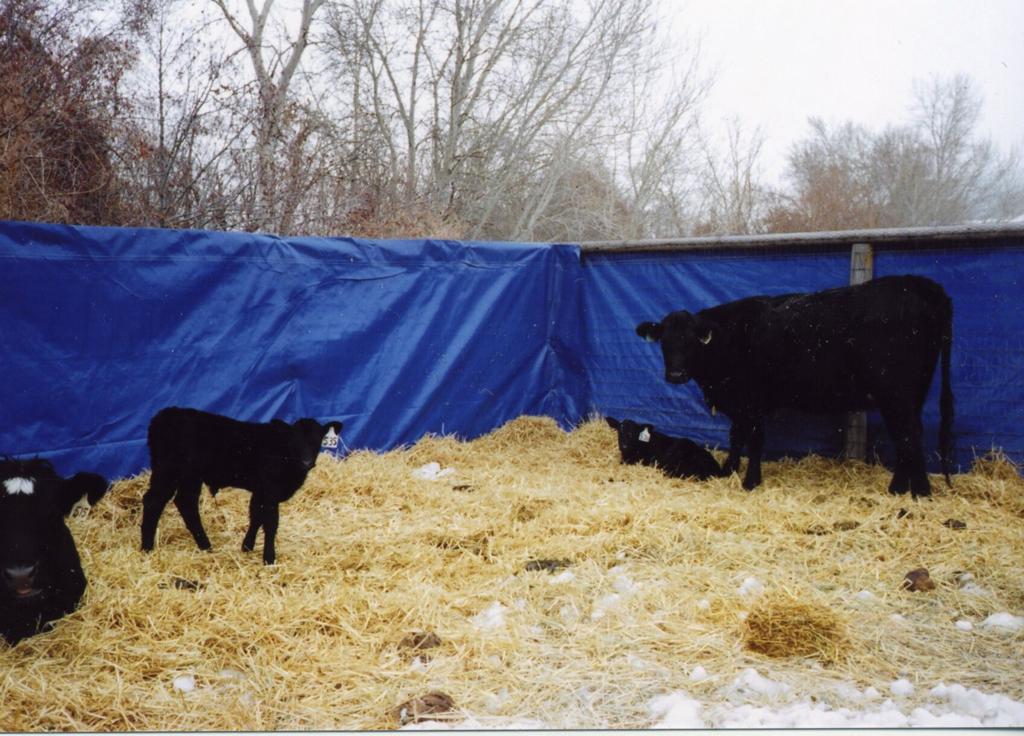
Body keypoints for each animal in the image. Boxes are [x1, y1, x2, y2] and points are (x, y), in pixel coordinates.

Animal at [140, 407, 343, 564]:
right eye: (294, 441)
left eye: (317, 440)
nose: (306, 462)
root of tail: (163, 415)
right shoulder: (270, 490)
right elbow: (270, 523)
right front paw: (269, 558)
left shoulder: (261, 490)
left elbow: (256, 516)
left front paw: (247, 546)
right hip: (168, 470)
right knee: (153, 501)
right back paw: (147, 548)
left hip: (190, 476)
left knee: (186, 503)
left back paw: (205, 546)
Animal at [636, 275, 954, 497]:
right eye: (665, 341)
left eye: (691, 341)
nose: (676, 374)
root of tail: (917, 283)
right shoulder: (739, 404)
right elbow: (736, 436)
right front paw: (728, 470)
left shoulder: (753, 401)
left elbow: (755, 439)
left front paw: (751, 481)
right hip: (913, 392)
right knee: (907, 434)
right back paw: (901, 488)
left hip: (896, 393)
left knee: (908, 434)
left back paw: (918, 491)